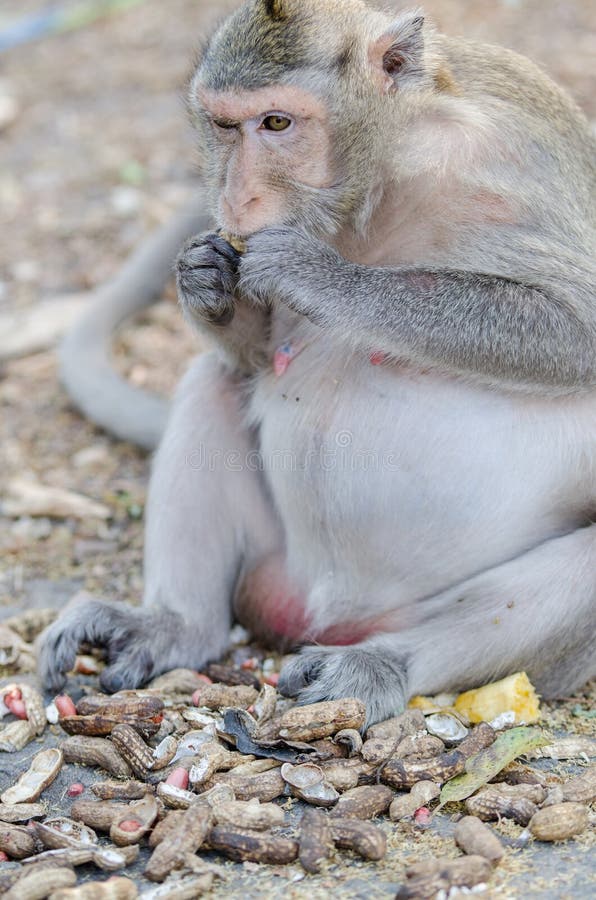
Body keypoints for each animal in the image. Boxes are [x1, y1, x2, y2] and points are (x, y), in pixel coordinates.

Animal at [39, 0, 596, 725]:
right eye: (224, 126)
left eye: (277, 124)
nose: (234, 198)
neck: (389, 176)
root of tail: (324, 612)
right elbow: (252, 359)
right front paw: (206, 280)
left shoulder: (511, 157)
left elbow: (580, 328)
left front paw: (321, 278)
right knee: (218, 381)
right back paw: (175, 626)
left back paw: (383, 663)